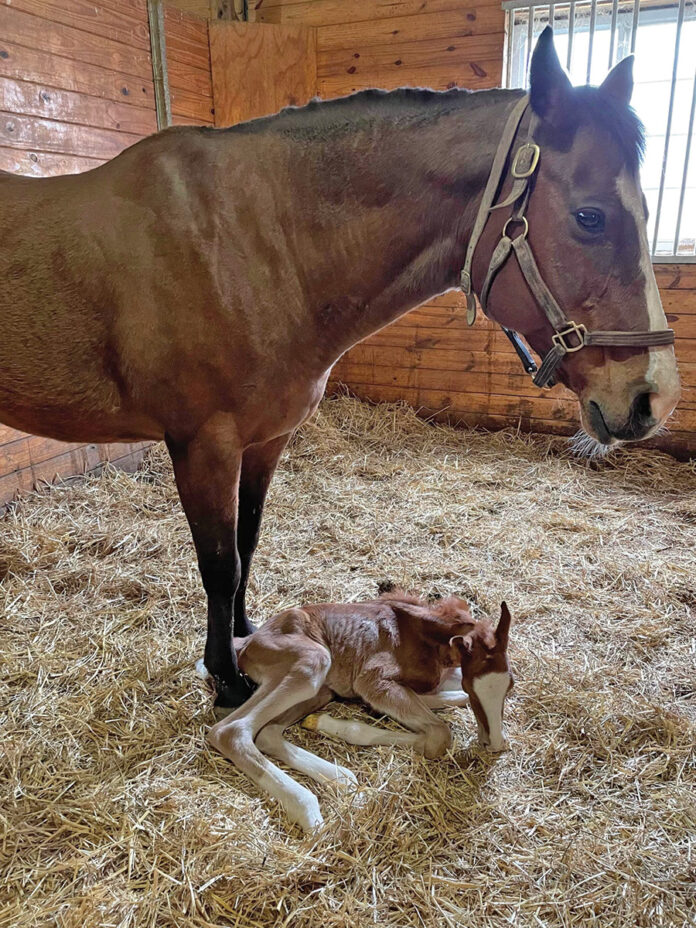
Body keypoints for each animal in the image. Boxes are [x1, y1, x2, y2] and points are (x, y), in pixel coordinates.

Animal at [0, 29, 680, 709]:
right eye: (590, 216)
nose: (655, 397)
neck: (248, 243)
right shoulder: (203, 444)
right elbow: (219, 564)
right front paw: (226, 676)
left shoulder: (265, 440)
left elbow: (246, 543)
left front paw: (247, 634)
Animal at [206, 589, 513, 831]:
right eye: (473, 687)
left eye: (510, 685)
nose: (496, 743)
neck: (424, 636)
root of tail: (246, 644)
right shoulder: (373, 680)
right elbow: (439, 734)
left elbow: (446, 700)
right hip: (312, 662)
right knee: (229, 731)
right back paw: (308, 810)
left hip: (320, 688)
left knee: (267, 732)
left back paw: (339, 776)